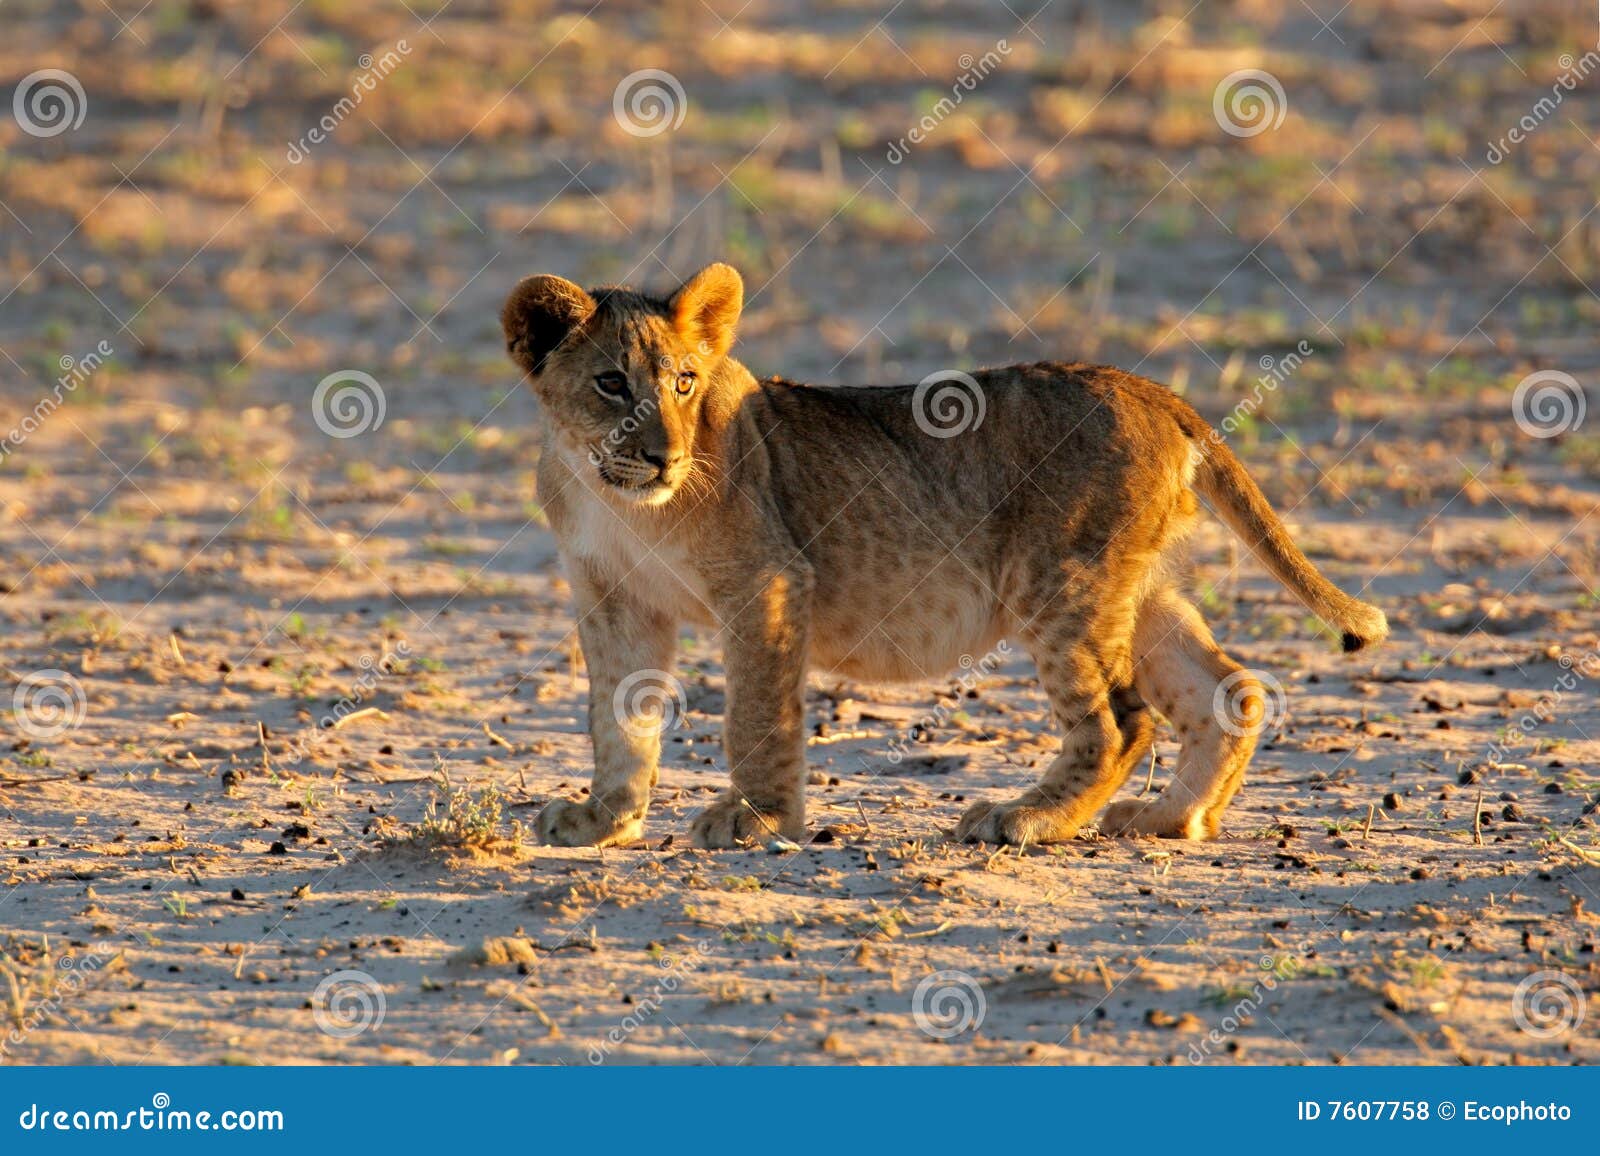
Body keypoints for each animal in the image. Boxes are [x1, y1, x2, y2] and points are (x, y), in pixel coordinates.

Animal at [501, 262, 1387, 849]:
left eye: (684, 382)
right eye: (612, 384)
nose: (662, 456)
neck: (613, 496)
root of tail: (1156, 393)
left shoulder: (768, 581)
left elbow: (754, 712)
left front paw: (754, 819)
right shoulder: (616, 599)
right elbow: (620, 715)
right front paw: (602, 818)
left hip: (1058, 584)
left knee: (1120, 720)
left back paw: (1025, 818)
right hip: (1136, 590)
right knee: (1230, 689)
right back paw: (1168, 818)